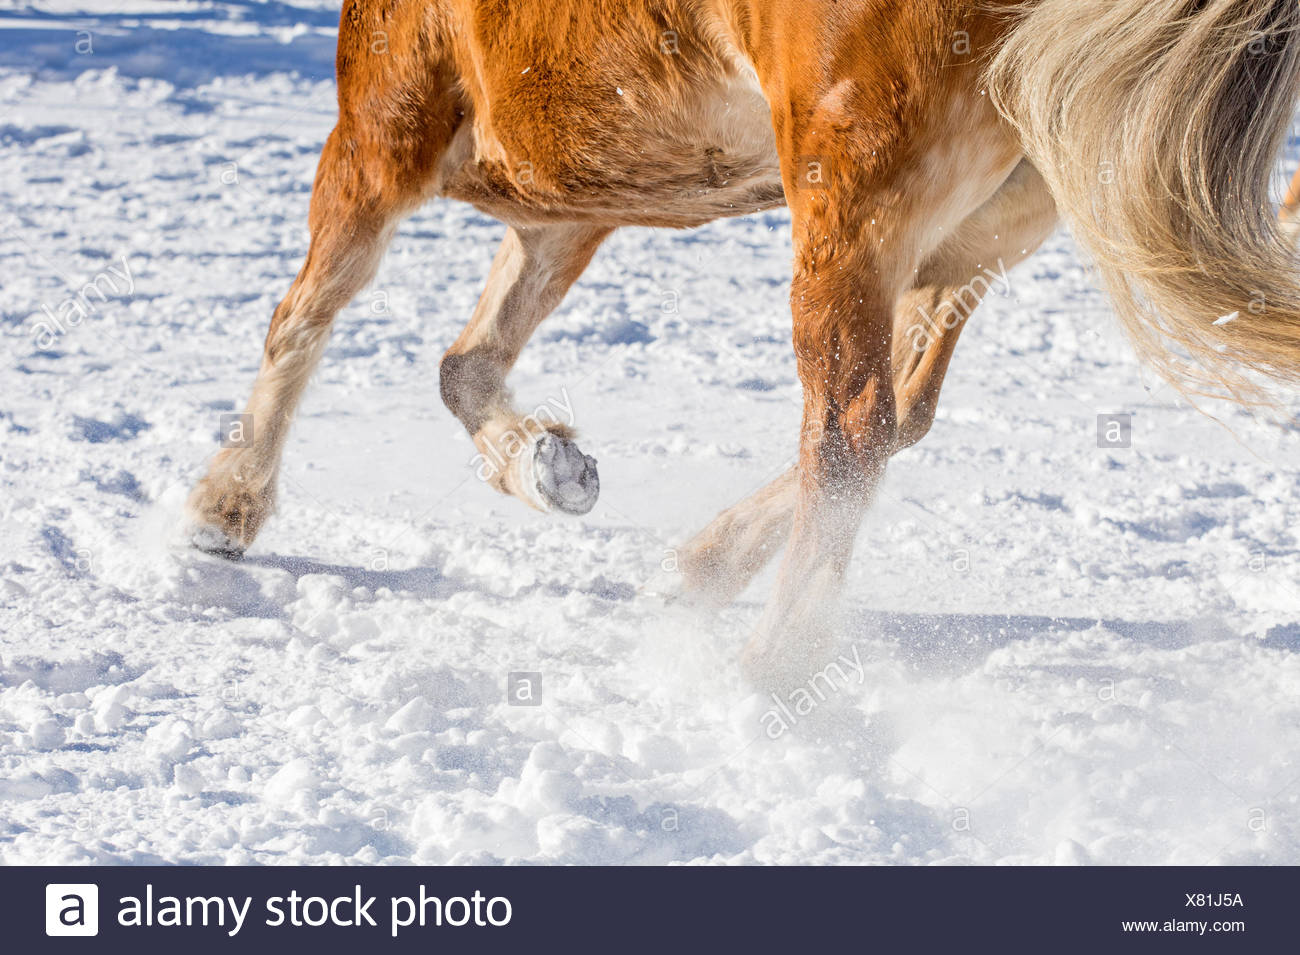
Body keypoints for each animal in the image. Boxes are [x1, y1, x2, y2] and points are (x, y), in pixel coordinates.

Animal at [186, 0, 1300, 684]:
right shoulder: (568, 206)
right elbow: (468, 365)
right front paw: (552, 466)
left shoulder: (383, 132)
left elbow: (302, 318)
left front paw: (222, 510)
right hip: (972, 234)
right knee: (902, 414)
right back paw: (700, 568)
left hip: (852, 207)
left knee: (851, 426)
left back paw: (768, 664)